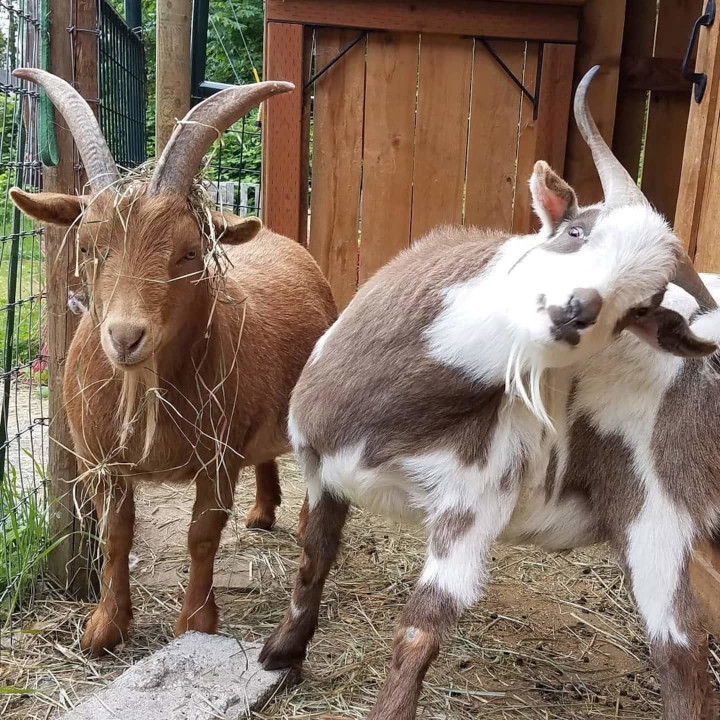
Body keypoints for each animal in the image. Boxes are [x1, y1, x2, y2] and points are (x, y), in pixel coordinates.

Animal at [11, 69, 337, 656]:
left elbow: (202, 534)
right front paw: (105, 626)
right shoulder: (102, 461)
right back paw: (262, 511)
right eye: (89, 247)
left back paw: (300, 523)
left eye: (189, 252)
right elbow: (115, 534)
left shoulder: (218, 458)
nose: (125, 337)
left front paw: (195, 623)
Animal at [259, 66, 720, 720]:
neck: (387, 420)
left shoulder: (472, 503)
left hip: (660, 506)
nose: (577, 309)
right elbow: (312, 559)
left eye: (639, 309)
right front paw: (281, 655)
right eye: (575, 231)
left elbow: (418, 634)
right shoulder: (322, 472)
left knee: (682, 653)